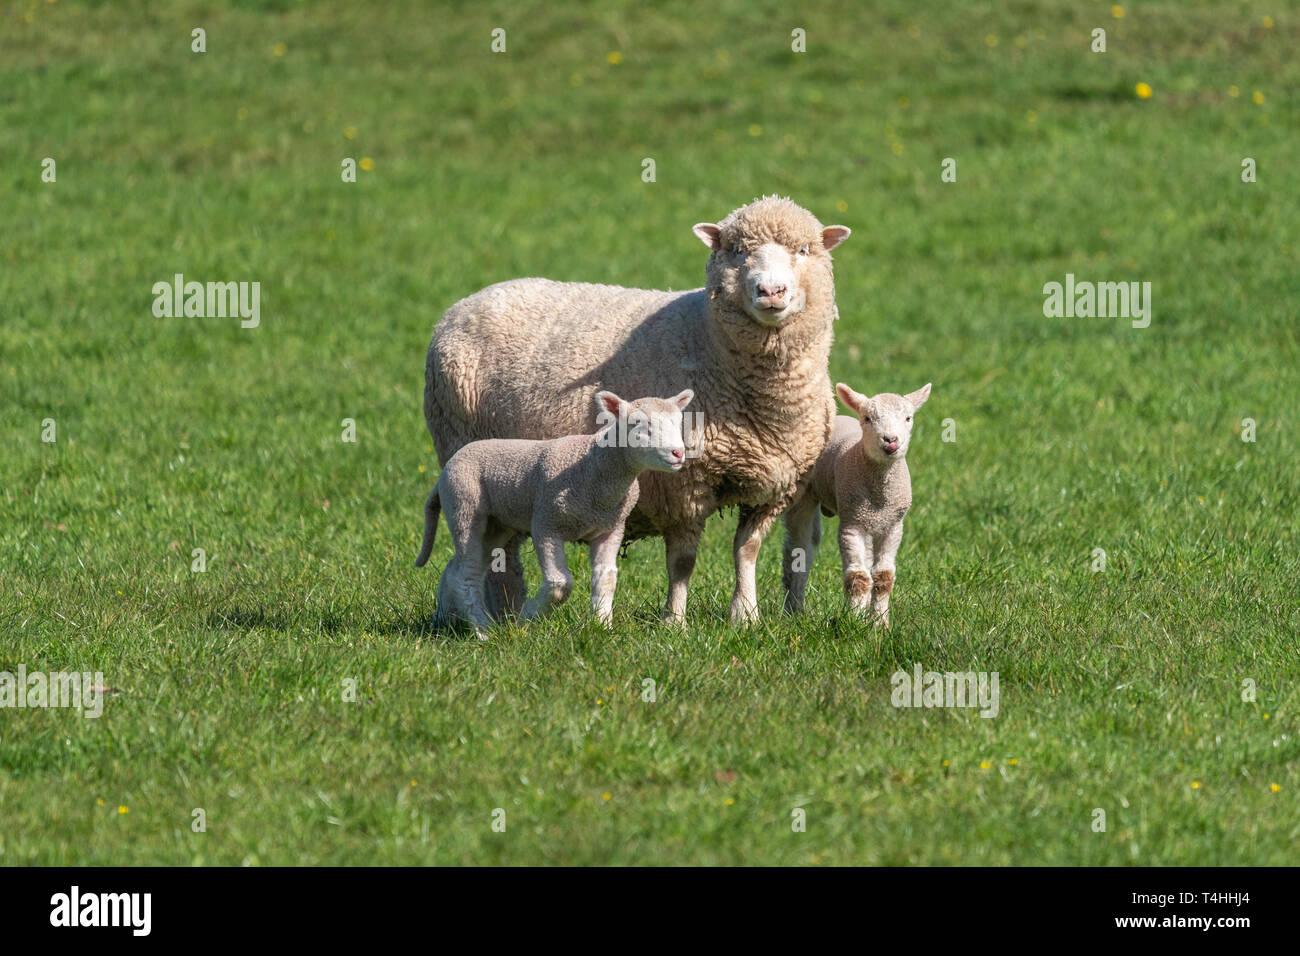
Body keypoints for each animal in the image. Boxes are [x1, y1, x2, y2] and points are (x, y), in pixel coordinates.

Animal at [415, 389, 694, 637]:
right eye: (637, 424)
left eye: (678, 422)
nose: (678, 453)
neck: (595, 466)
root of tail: (443, 474)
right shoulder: (547, 523)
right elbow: (560, 583)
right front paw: (526, 617)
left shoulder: (610, 528)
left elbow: (606, 577)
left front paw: (602, 626)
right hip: (464, 506)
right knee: (466, 575)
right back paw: (484, 630)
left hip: (495, 524)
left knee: (459, 568)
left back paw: (448, 619)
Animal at [781, 382, 931, 625]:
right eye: (868, 418)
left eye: (908, 418)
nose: (891, 440)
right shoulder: (851, 524)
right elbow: (857, 577)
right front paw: (855, 622)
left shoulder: (893, 525)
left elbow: (883, 576)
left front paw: (880, 624)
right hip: (805, 497)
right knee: (797, 554)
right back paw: (793, 611)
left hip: (868, 521)